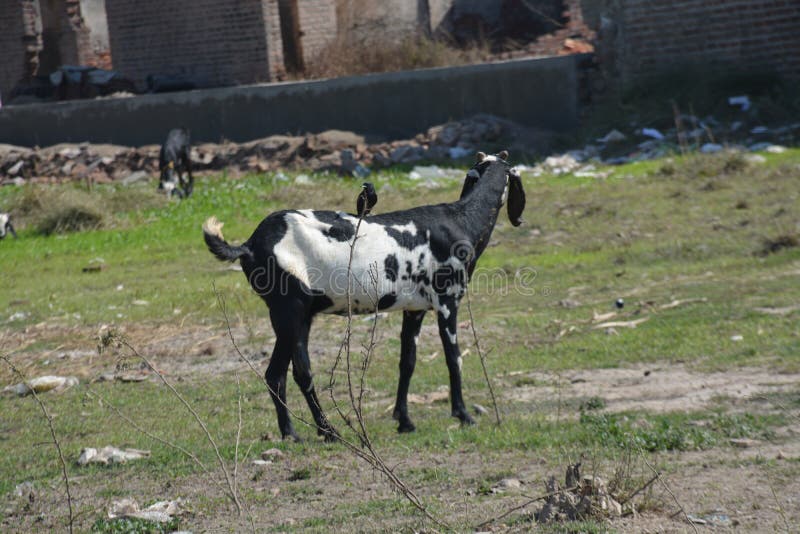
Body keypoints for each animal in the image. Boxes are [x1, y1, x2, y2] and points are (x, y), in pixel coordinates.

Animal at [203, 151, 525, 441]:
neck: (462, 220)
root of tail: (250, 244)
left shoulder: (415, 307)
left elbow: (407, 362)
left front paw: (404, 421)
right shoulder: (448, 301)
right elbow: (453, 358)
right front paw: (463, 415)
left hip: (295, 315)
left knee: (287, 373)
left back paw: (303, 433)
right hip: (290, 310)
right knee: (290, 373)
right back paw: (316, 432)